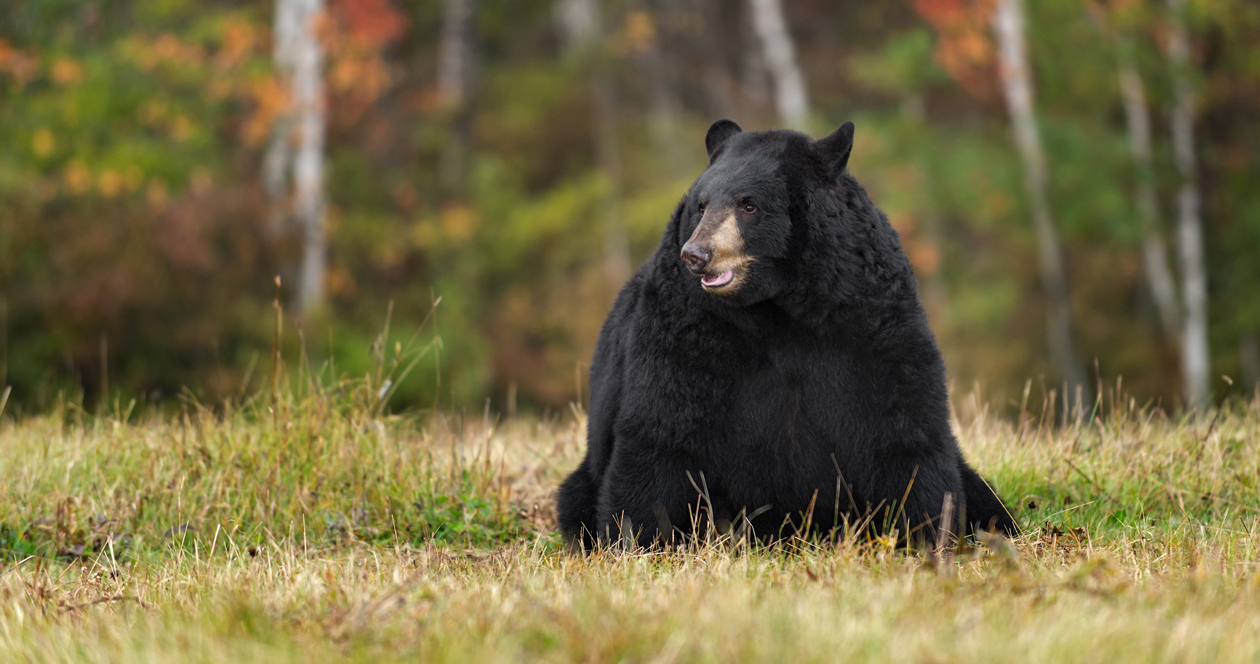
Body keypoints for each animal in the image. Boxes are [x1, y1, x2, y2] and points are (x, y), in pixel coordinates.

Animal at [557, 119, 1017, 549]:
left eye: (749, 205)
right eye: (700, 205)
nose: (696, 254)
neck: (779, 310)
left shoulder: (870, 319)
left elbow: (903, 425)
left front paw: (929, 534)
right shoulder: (685, 328)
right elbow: (661, 430)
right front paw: (638, 541)